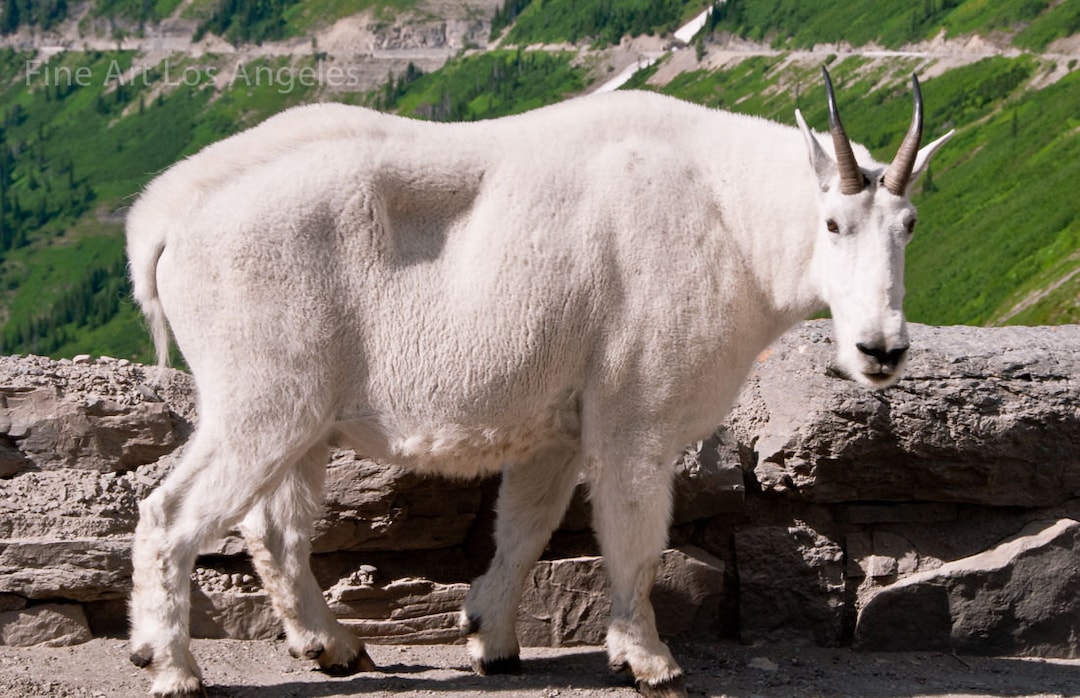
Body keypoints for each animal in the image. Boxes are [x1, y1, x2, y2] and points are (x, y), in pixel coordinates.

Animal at [125, 68, 952, 697]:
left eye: (910, 224)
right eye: (834, 223)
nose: (881, 350)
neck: (732, 221)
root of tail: (166, 220)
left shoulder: (556, 422)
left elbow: (525, 527)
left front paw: (489, 639)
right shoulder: (636, 411)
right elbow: (633, 532)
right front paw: (650, 661)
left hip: (304, 415)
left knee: (275, 527)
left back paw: (333, 647)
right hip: (263, 397)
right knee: (172, 514)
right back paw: (173, 669)